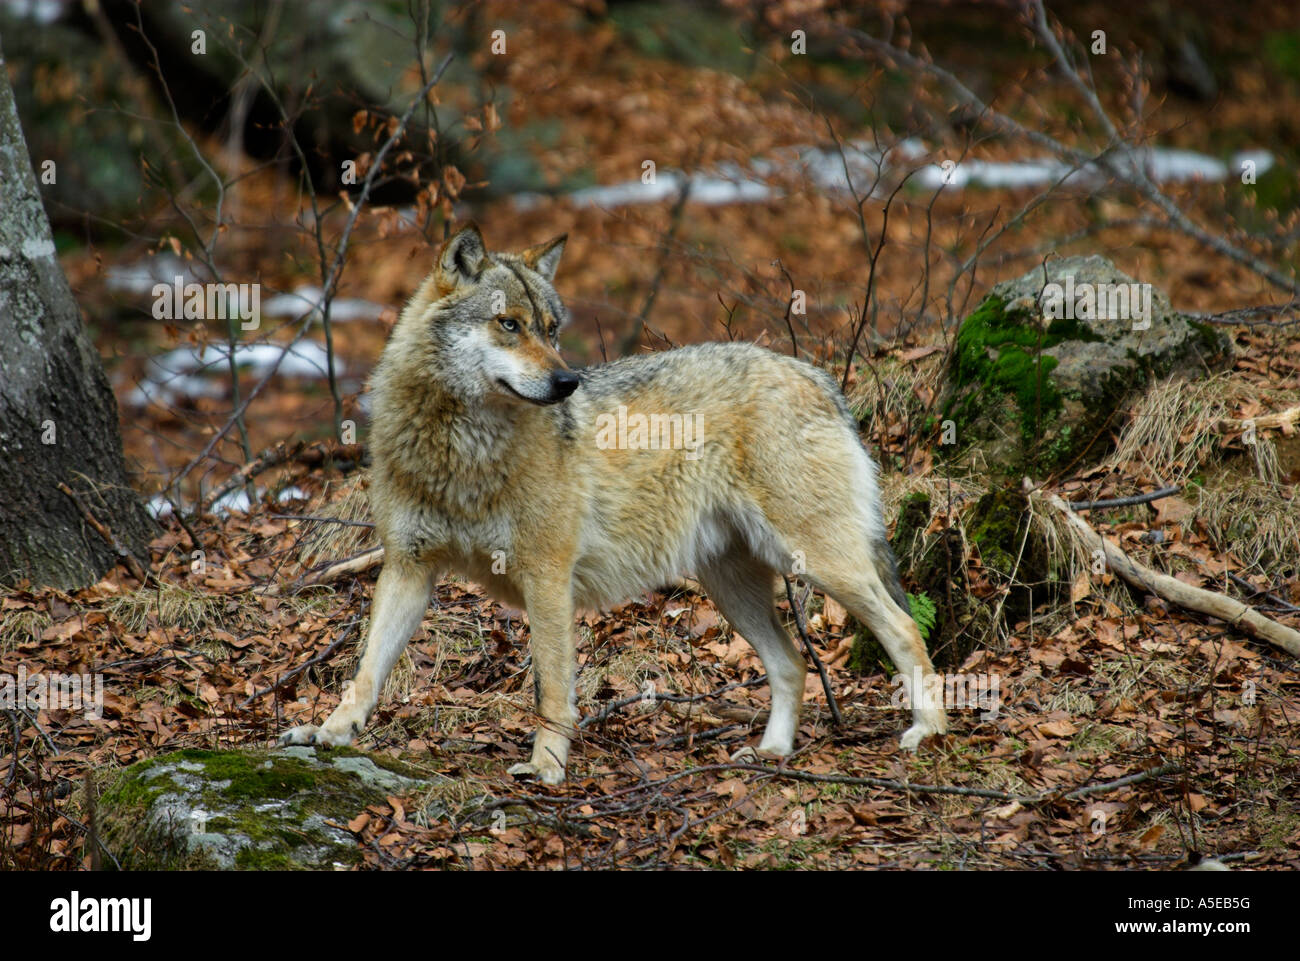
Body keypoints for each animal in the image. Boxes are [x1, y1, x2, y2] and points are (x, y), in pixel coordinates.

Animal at [279, 223, 948, 783]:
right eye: (509, 325)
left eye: (551, 328)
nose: (567, 382)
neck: (462, 447)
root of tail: (817, 375)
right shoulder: (407, 568)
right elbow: (366, 671)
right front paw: (328, 732)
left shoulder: (547, 578)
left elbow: (551, 689)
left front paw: (546, 768)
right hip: (733, 584)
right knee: (792, 663)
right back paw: (771, 752)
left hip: (814, 562)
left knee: (904, 628)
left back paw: (929, 730)